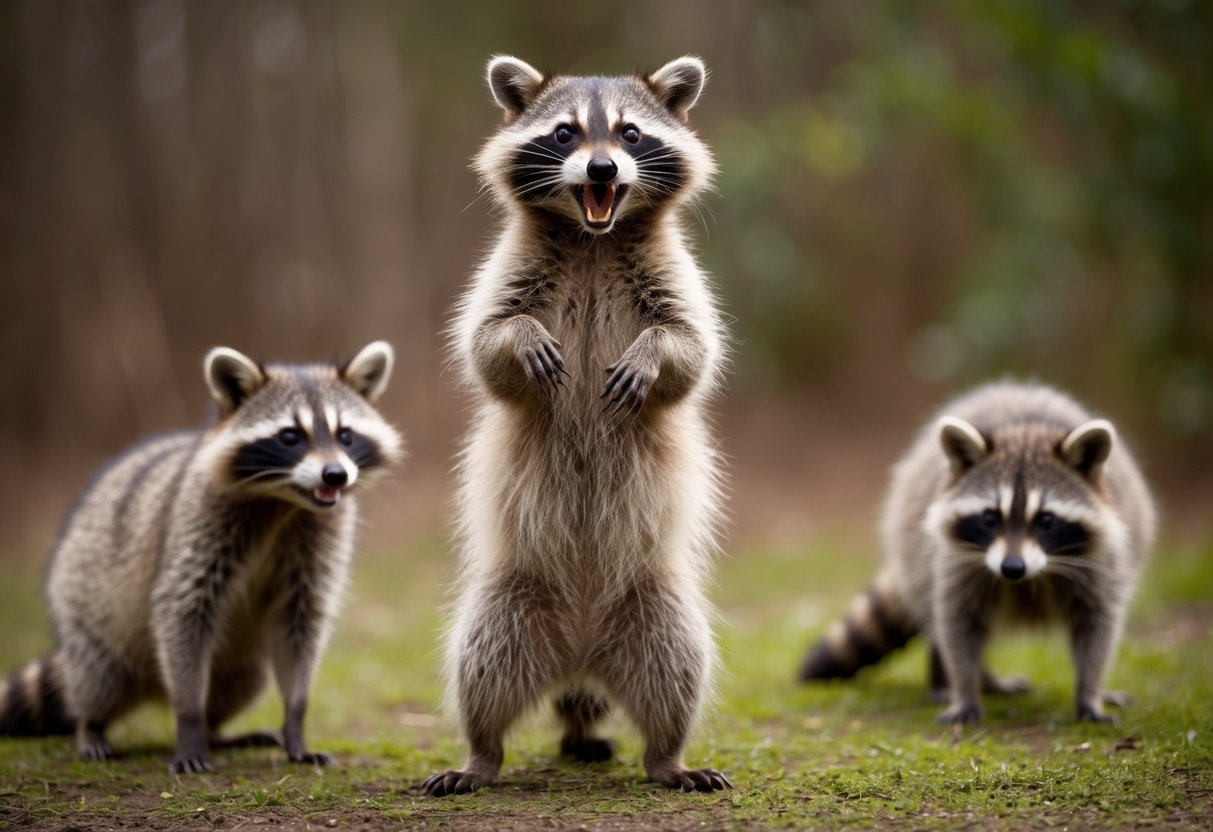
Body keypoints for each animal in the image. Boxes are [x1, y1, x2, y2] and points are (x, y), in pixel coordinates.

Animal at [0, 342, 403, 772]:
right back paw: (92, 726)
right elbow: (181, 611)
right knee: (98, 675)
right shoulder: (196, 530)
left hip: (241, 661)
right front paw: (189, 720)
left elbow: (302, 623)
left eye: (346, 435)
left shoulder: (317, 545)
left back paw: (217, 732)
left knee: (243, 679)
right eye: (290, 436)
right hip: (84, 600)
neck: (284, 502)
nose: (335, 476)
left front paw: (295, 721)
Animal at [423, 56, 729, 796]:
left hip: (656, 605)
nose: (601, 169)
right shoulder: (508, 271)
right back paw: (479, 753)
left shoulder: (676, 277)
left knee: (679, 667)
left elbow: (691, 352)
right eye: (564, 133)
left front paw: (653, 355)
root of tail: (581, 654)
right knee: (480, 669)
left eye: (629, 132)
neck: (595, 238)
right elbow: (486, 347)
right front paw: (520, 337)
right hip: (509, 602)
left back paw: (669, 754)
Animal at [799, 382, 1155, 724]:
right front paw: (965, 689)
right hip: (913, 551)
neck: (1025, 429)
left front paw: (1090, 691)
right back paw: (954, 679)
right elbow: (958, 624)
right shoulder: (954, 560)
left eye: (1046, 520)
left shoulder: (1102, 561)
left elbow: (1097, 626)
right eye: (990, 518)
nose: (1012, 568)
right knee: (939, 617)